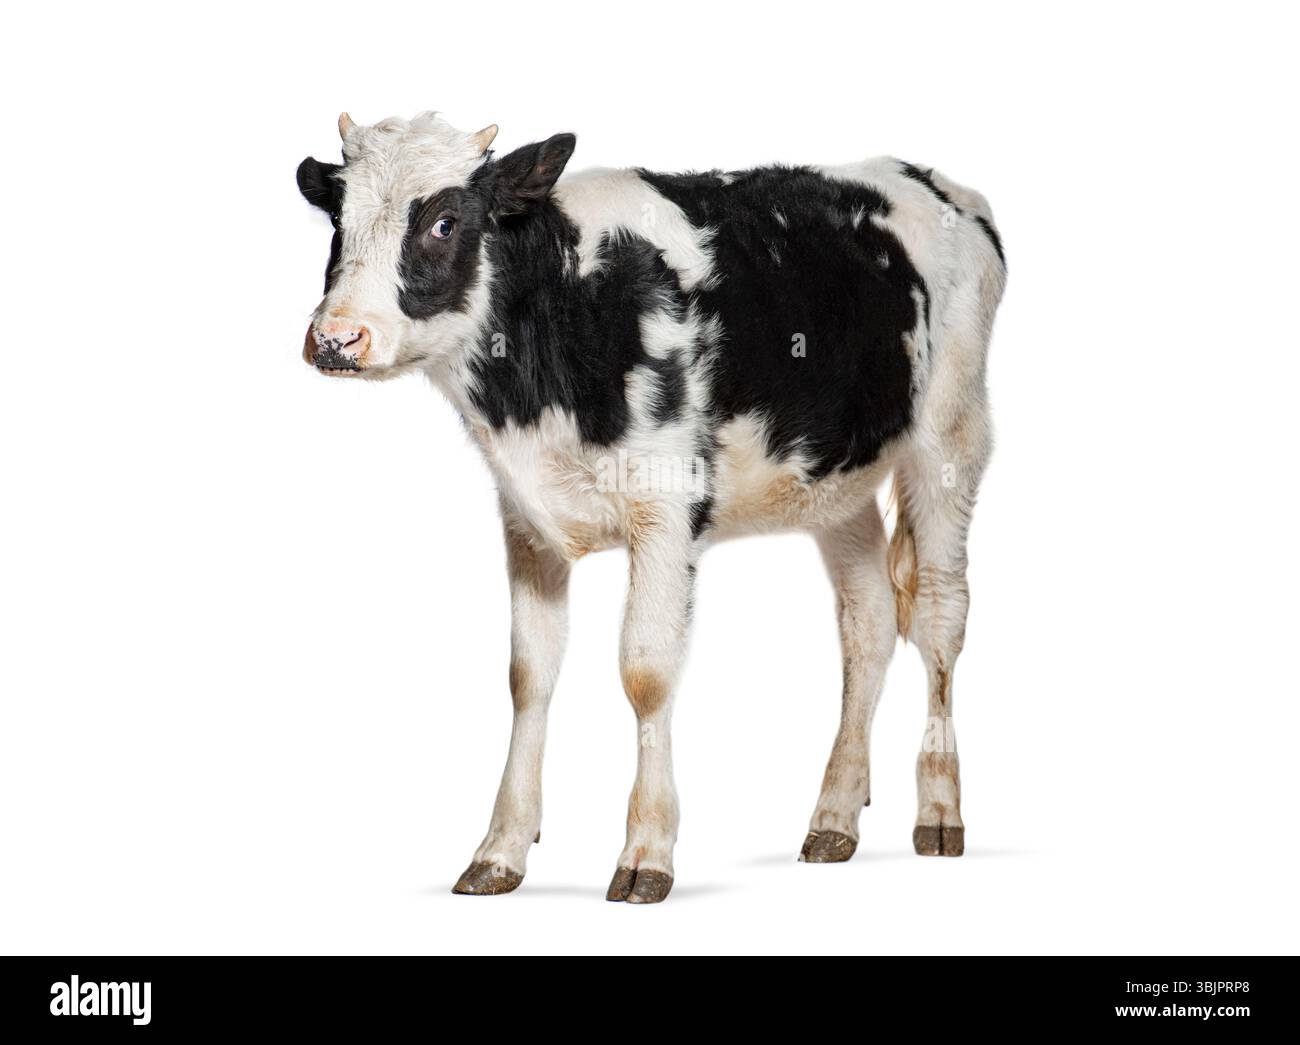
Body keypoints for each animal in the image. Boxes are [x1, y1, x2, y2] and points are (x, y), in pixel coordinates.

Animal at [296, 111, 1006, 904]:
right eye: (337, 220)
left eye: (444, 222)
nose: (336, 337)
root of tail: (936, 182)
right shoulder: (525, 519)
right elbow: (527, 675)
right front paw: (501, 849)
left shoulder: (668, 511)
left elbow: (646, 671)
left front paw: (647, 852)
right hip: (833, 479)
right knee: (869, 623)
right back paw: (834, 818)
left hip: (950, 440)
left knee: (940, 619)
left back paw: (939, 812)